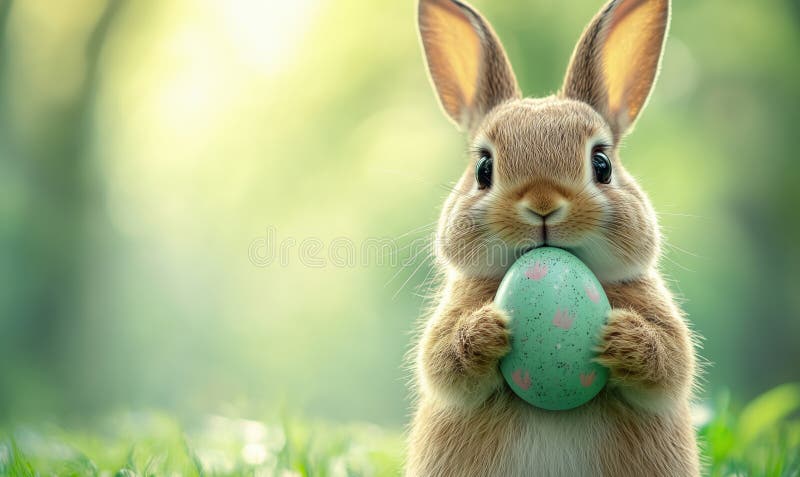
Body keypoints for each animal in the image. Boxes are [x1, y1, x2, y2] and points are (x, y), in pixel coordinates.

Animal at [407, 0, 700, 476]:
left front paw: (620, 335)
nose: (542, 204)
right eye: (484, 169)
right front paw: (488, 328)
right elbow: (441, 361)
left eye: (601, 164)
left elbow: (672, 361)